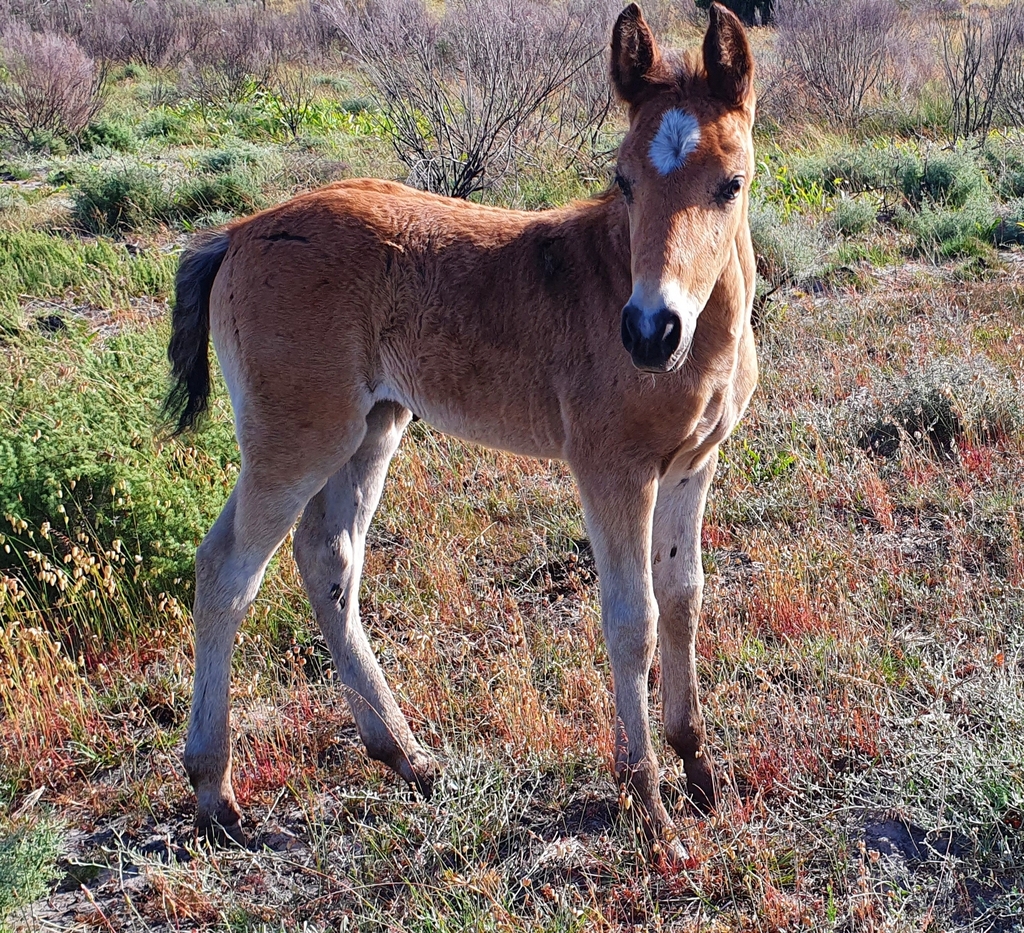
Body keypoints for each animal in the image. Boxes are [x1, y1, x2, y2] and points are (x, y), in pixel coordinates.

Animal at [165, 2, 757, 855]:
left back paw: (406, 756)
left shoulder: (691, 464)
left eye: (730, 183)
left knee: (328, 559)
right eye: (623, 179)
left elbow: (683, 598)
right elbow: (633, 620)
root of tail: (241, 229)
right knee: (226, 571)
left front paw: (700, 771)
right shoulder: (612, 470)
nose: (650, 331)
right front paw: (650, 808)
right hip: (294, 439)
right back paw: (215, 791)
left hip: (372, 427)